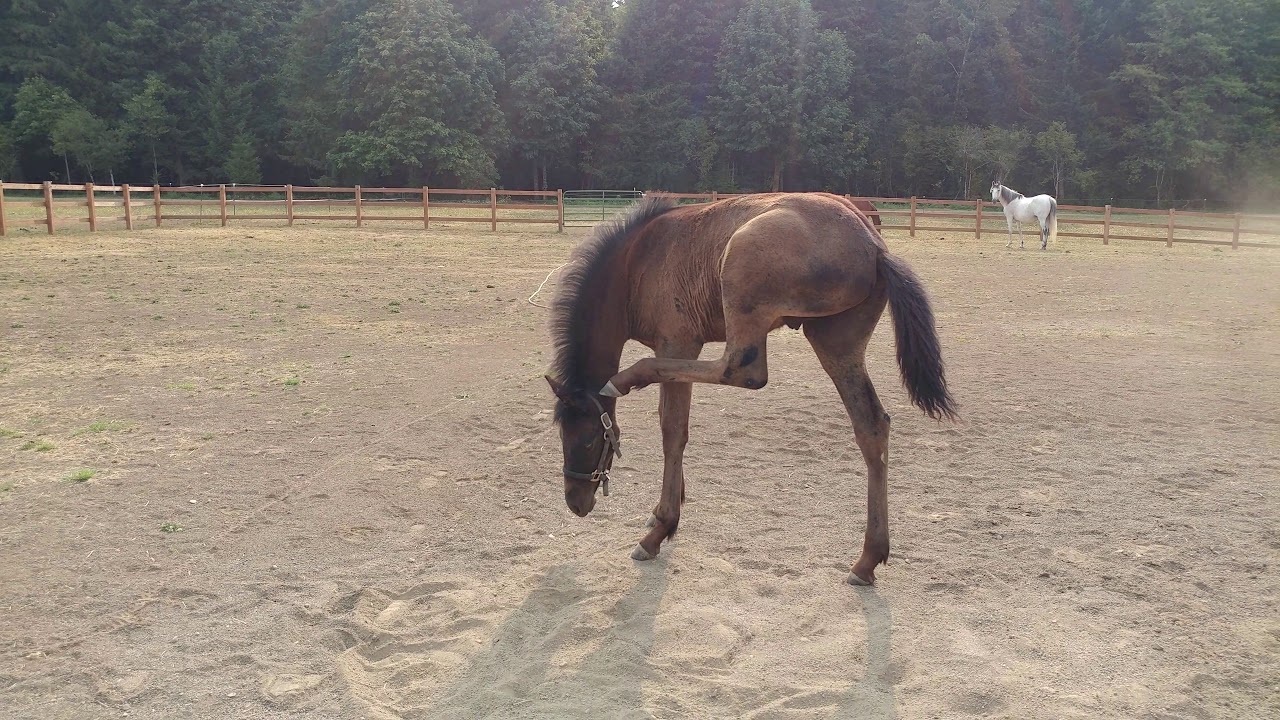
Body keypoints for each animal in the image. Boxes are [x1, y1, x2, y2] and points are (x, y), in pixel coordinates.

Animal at [544, 194, 956, 586]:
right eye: (560, 436)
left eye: (587, 440)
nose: (575, 502)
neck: (635, 261)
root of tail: (874, 244)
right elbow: (669, 419)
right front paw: (664, 509)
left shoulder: (677, 343)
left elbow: (672, 430)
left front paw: (661, 528)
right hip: (836, 341)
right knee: (871, 425)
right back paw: (868, 559)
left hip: (747, 288)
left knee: (744, 371)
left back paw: (627, 379)